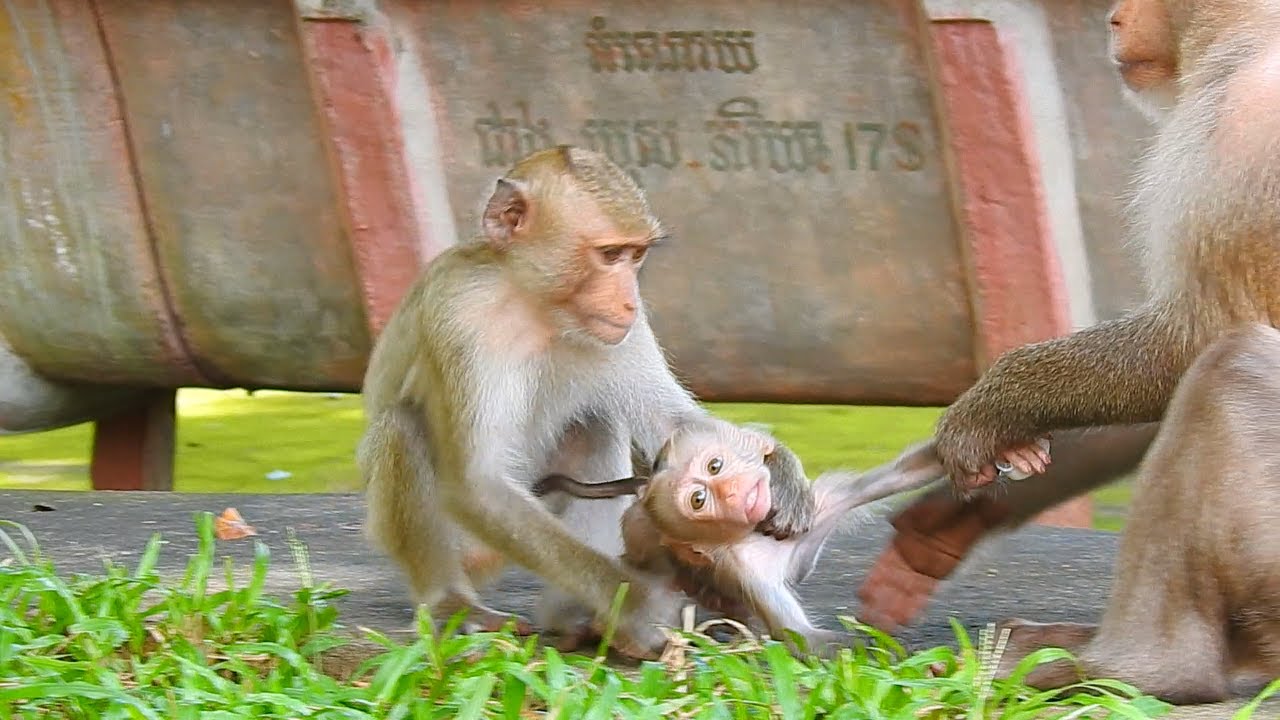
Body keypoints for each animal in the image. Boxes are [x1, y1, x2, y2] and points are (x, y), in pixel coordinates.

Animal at [358, 145, 815, 660]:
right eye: (609, 254)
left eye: (635, 255)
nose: (629, 301)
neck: (533, 303)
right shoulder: (459, 312)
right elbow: (477, 484)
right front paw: (635, 607)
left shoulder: (625, 331)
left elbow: (678, 425)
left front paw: (780, 467)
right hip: (454, 540)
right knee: (402, 426)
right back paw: (450, 603)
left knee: (595, 426)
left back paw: (574, 618)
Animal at [534, 416, 949, 657]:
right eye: (699, 500)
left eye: (715, 465)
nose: (731, 492)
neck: (760, 534)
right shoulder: (747, 568)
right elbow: (799, 636)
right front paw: (869, 646)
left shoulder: (817, 505)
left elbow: (911, 471)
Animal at [856, 0, 1280, 703]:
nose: (1113, 17)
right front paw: (957, 514)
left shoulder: (1239, 121)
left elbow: (1194, 336)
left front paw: (992, 408)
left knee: (1230, 364)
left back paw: (1137, 668)